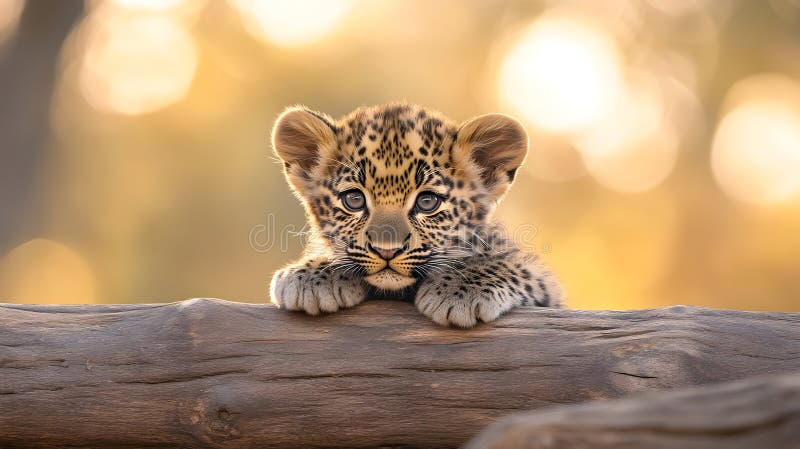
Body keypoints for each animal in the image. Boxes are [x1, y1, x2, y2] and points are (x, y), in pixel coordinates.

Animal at [268, 103, 563, 327]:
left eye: (427, 202)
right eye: (354, 200)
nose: (387, 250)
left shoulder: (550, 292)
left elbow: (511, 263)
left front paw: (462, 288)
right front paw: (312, 273)